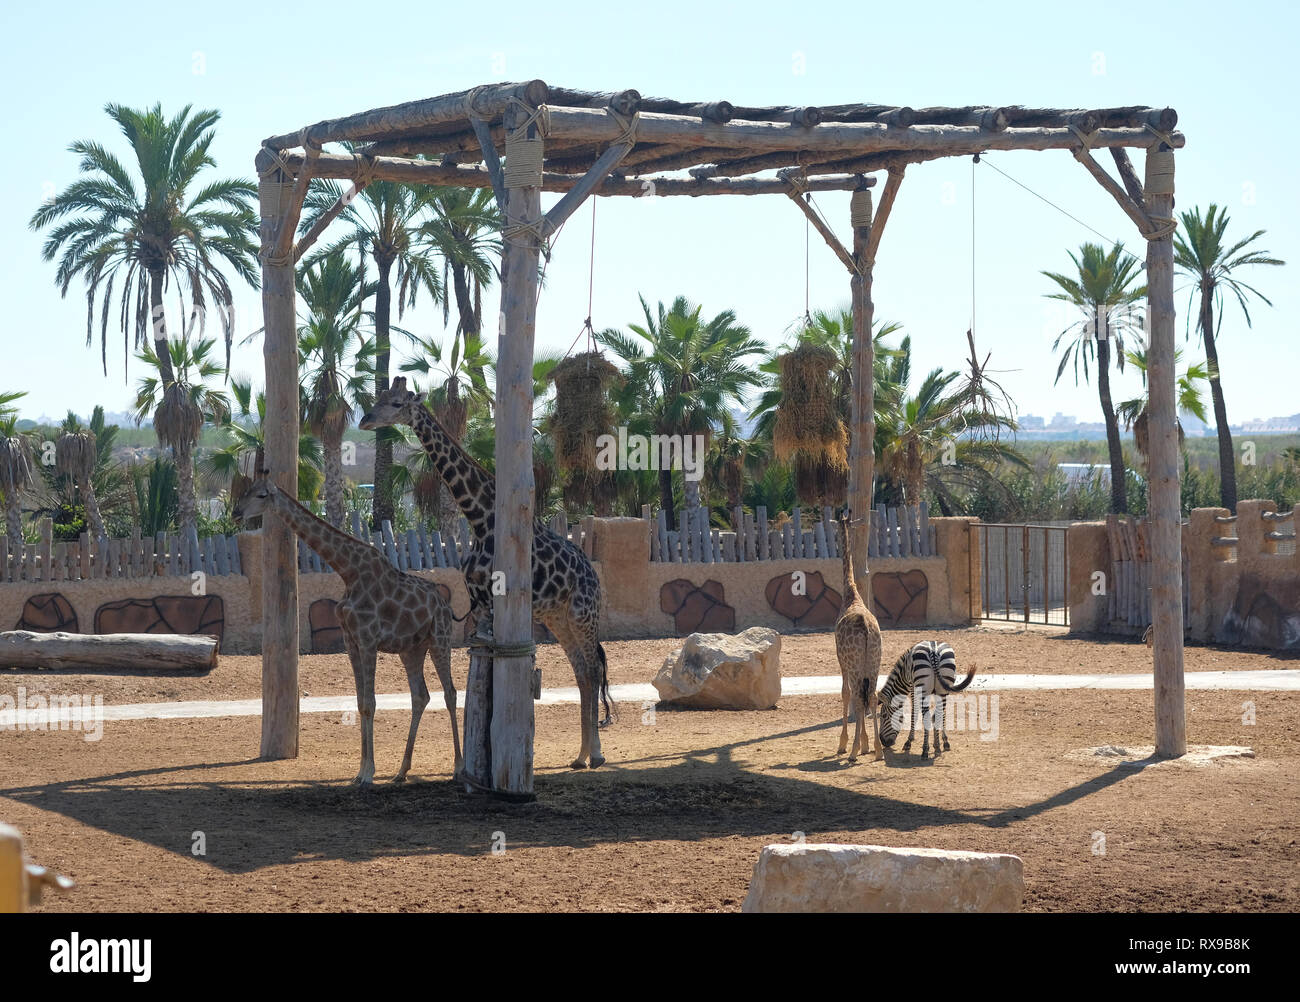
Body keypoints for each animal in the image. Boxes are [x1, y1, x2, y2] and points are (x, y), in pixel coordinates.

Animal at [233, 474, 462, 786]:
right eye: (246, 490)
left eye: (261, 495)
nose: (235, 513)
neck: (348, 571)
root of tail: (445, 605)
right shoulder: (350, 641)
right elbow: (360, 702)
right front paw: (361, 771)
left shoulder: (368, 640)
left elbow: (370, 702)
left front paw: (368, 773)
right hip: (412, 649)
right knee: (421, 695)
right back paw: (401, 771)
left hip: (440, 639)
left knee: (450, 693)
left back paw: (458, 768)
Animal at [359, 377, 612, 769]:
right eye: (379, 397)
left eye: (397, 403)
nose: (364, 420)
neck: (480, 520)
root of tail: (593, 576)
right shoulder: (476, 601)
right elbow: (476, 667)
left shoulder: (495, 599)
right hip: (558, 617)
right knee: (582, 671)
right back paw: (581, 754)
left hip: (583, 613)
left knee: (593, 668)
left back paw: (596, 754)